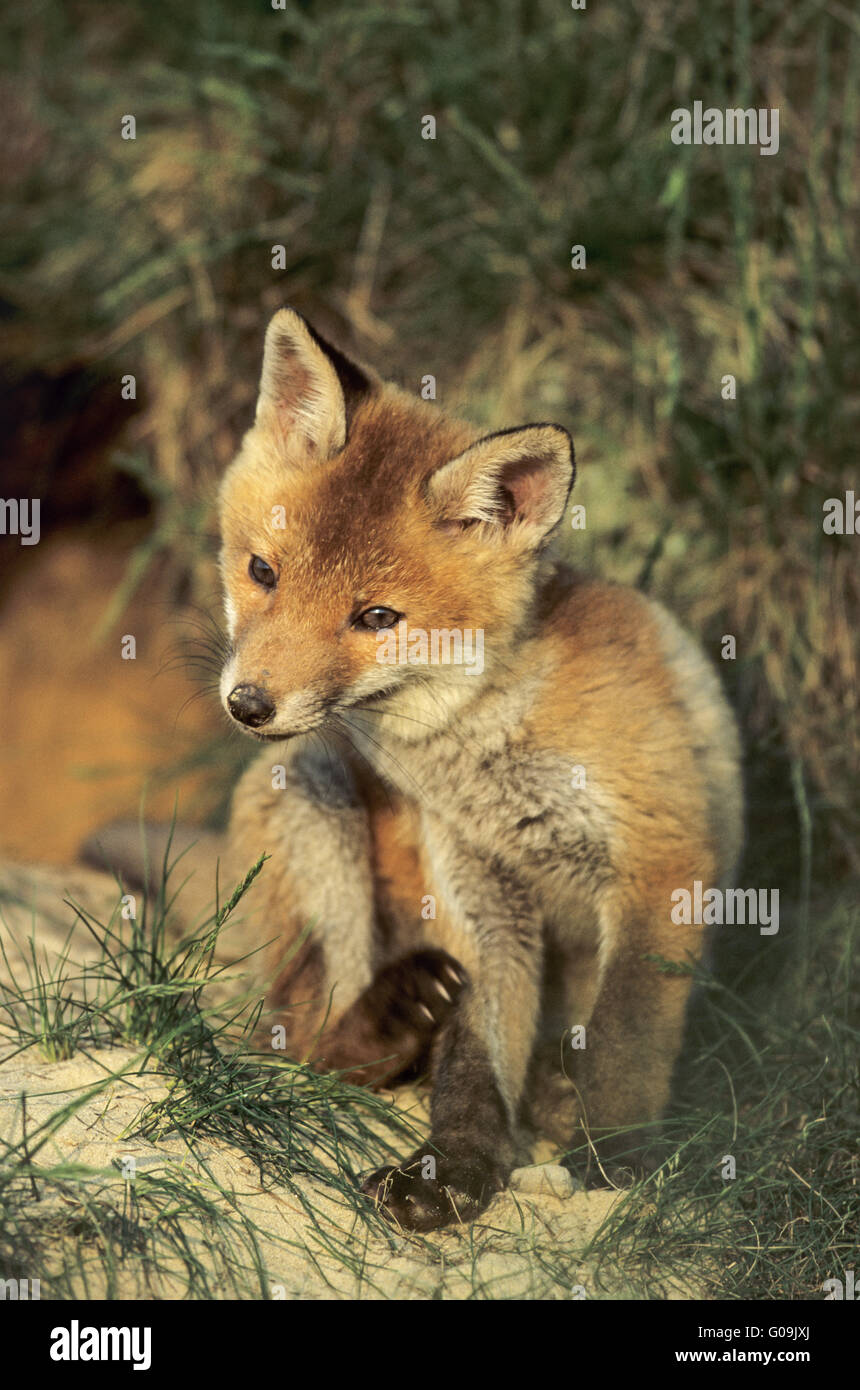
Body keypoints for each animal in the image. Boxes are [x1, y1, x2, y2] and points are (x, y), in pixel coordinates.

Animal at [84, 307, 743, 1232]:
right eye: (262, 572)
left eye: (377, 618)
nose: (248, 705)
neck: (492, 751)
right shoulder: (479, 894)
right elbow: (471, 1062)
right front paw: (453, 1168)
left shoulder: (662, 863)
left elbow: (625, 1046)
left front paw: (614, 1161)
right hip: (310, 793)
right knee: (295, 1045)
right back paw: (382, 1032)